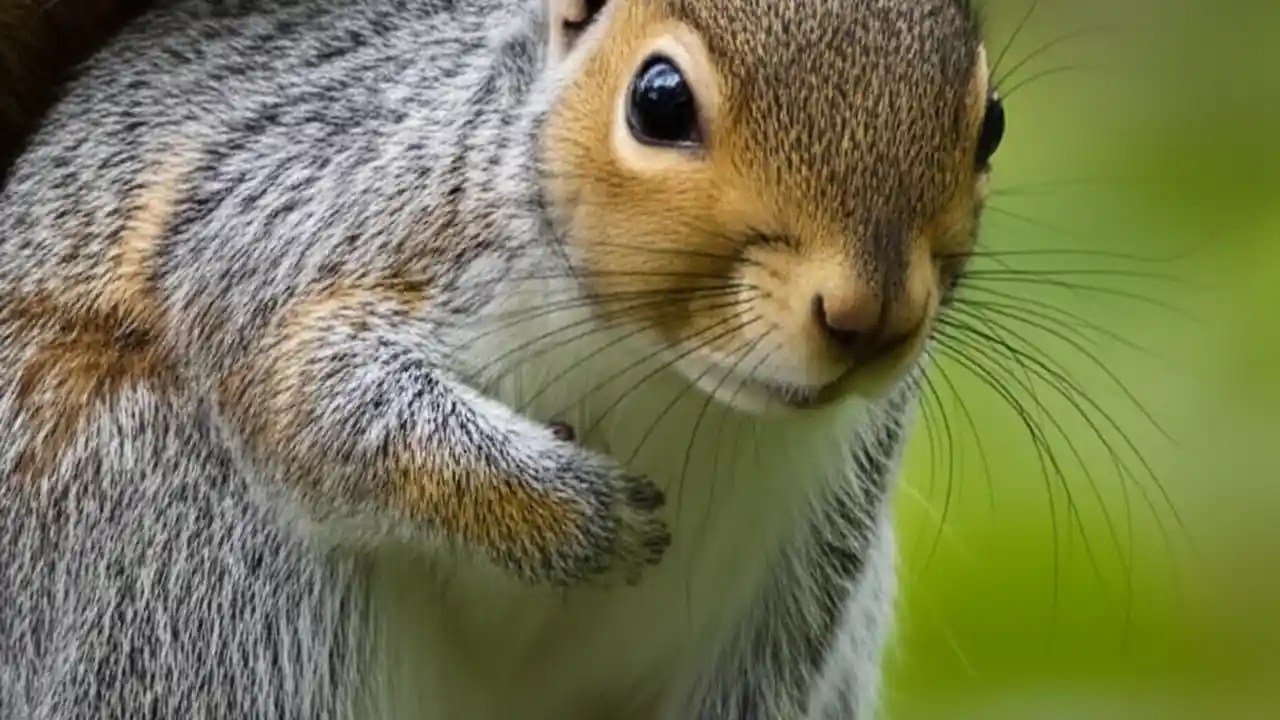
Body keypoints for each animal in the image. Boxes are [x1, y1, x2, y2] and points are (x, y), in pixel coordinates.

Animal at [0, 0, 1003, 718]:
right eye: (659, 100)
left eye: (990, 122)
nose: (871, 317)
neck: (659, 360)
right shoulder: (310, 226)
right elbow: (307, 390)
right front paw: (573, 516)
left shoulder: (803, 574)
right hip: (176, 553)